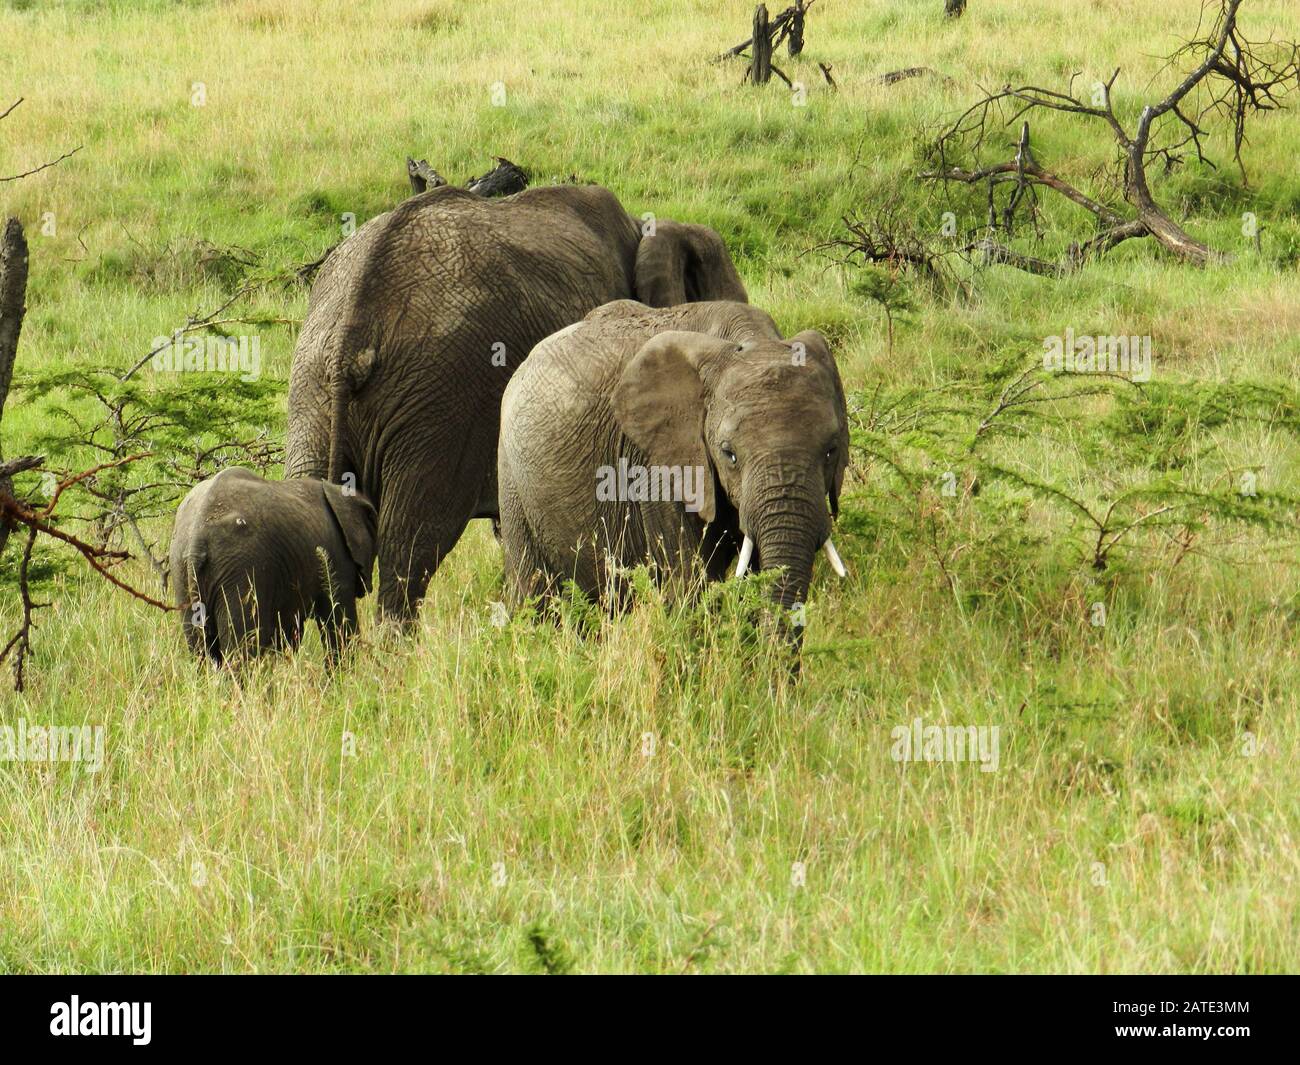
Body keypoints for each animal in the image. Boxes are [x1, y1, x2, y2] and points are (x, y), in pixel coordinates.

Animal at [169, 467, 377, 664]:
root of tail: (196, 538)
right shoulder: (335, 559)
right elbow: (339, 623)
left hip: (181, 569)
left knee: (199, 649)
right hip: (241, 567)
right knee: (242, 649)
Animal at [497, 299, 850, 634]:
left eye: (831, 450)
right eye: (729, 454)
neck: (749, 340)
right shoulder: (655, 461)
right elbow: (688, 580)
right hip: (511, 481)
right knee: (533, 591)